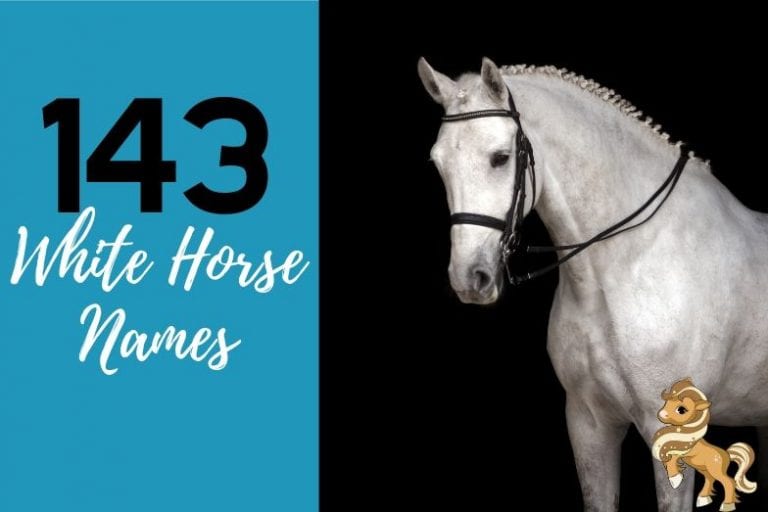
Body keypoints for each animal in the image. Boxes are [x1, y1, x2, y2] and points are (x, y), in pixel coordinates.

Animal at [653, 378, 756, 511]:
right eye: (667, 402)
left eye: (681, 410)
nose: (661, 414)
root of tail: (727, 455)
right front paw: (675, 478)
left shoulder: (685, 451)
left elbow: (673, 459)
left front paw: (675, 479)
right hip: (704, 470)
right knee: (710, 479)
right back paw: (703, 499)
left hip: (716, 471)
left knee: (728, 482)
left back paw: (727, 505)